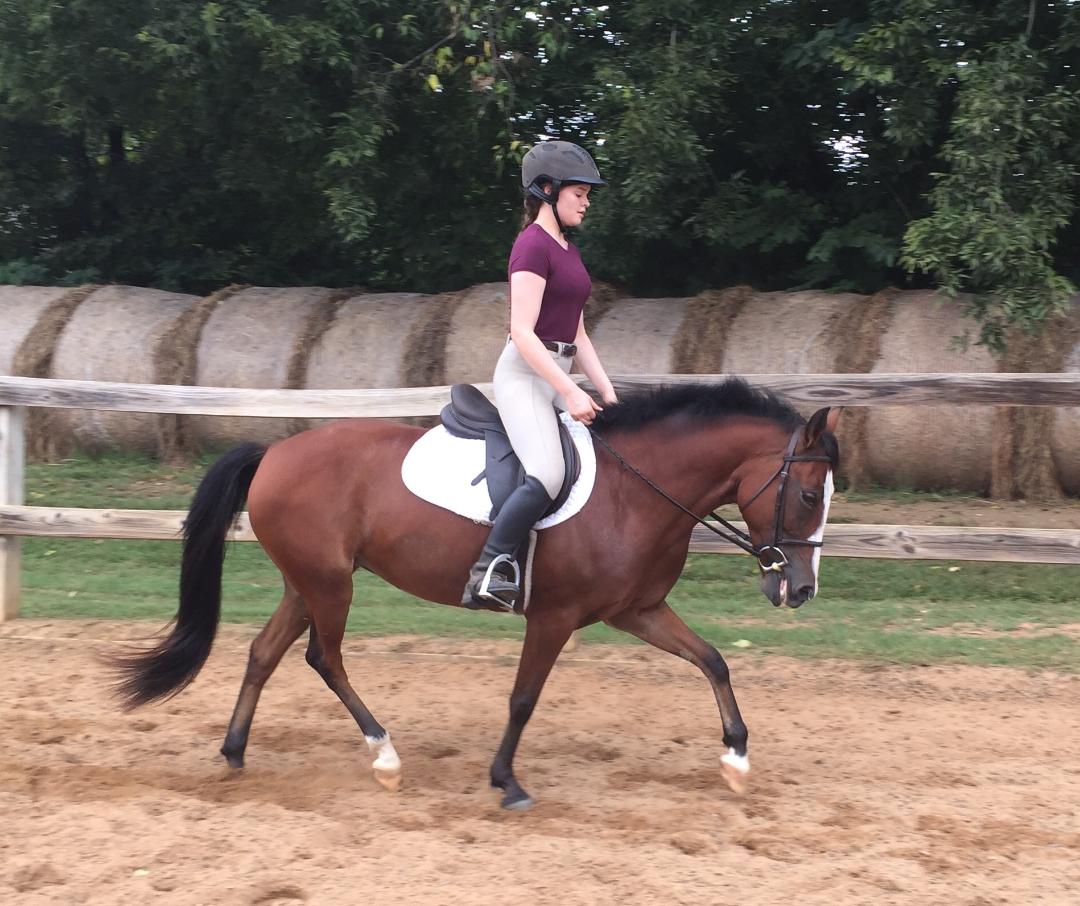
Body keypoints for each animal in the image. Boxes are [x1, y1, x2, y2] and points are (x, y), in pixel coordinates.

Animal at [114, 378, 840, 810]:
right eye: (809, 495)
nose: (802, 588)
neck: (637, 489)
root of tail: (274, 453)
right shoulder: (555, 616)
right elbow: (523, 698)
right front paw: (507, 781)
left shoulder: (636, 611)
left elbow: (713, 659)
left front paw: (737, 756)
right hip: (329, 584)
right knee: (324, 658)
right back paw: (384, 755)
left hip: (307, 581)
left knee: (264, 653)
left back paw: (235, 753)